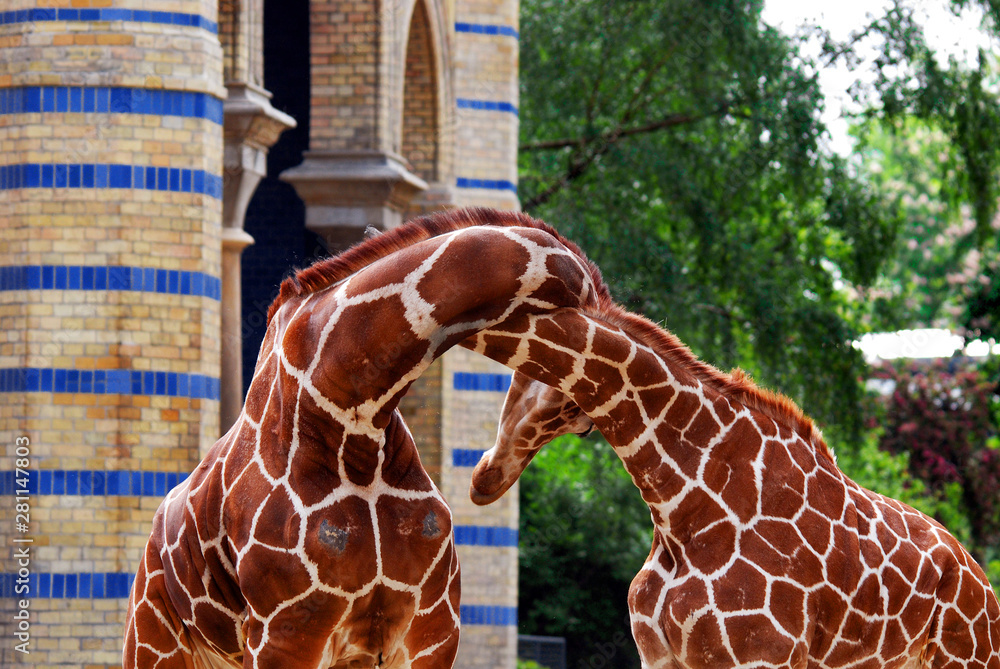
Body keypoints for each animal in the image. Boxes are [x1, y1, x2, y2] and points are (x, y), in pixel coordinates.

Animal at [123, 208, 603, 669]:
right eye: (581, 417)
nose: (484, 481)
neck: (354, 423)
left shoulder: (433, 629)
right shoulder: (285, 633)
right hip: (152, 641)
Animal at [463, 301, 1000, 668]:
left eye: (536, 382)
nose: (484, 477)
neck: (685, 509)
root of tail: (981, 578)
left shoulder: (762, 655)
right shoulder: (661, 657)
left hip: (965, 659)